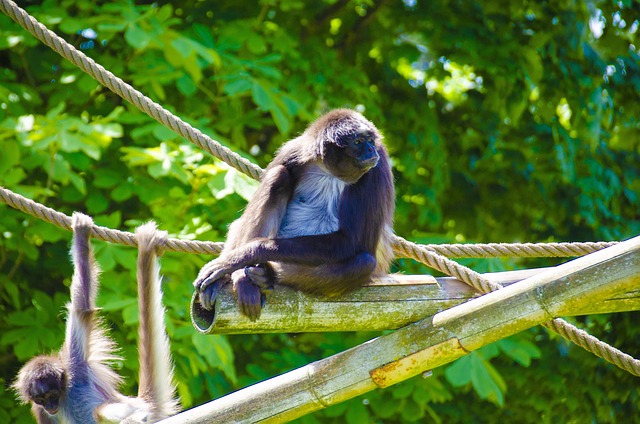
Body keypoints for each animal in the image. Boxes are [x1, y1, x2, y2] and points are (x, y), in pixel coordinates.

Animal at [13, 214, 179, 423]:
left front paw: (81, 236)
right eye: (40, 399)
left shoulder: (75, 365)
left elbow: (81, 308)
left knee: (101, 410)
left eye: (52, 395)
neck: (64, 394)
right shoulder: (41, 410)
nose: (50, 406)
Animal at [194, 108, 395, 321]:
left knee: (363, 262)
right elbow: (239, 223)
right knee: (278, 176)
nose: (371, 150)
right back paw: (245, 281)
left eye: (370, 141)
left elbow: (353, 242)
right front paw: (230, 269)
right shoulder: (292, 151)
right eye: (358, 142)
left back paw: (266, 275)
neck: (330, 171)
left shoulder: (376, 167)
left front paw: (245, 254)